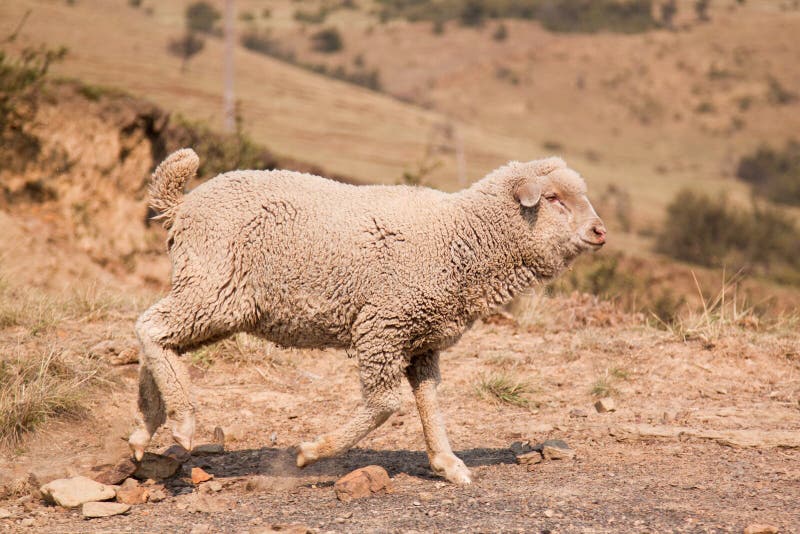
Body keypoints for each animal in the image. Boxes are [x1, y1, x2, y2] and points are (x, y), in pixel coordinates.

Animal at [129, 148, 606, 485]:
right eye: (553, 199)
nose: (600, 231)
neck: (460, 237)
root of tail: (183, 206)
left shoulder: (422, 340)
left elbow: (429, 401)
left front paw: (447, 463)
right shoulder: (383, 326)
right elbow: (386, 403)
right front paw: (311, 452)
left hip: (213, 297)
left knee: (161, 339)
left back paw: (145, 429)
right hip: (214, 285)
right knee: (151, 327)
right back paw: (183, 422)